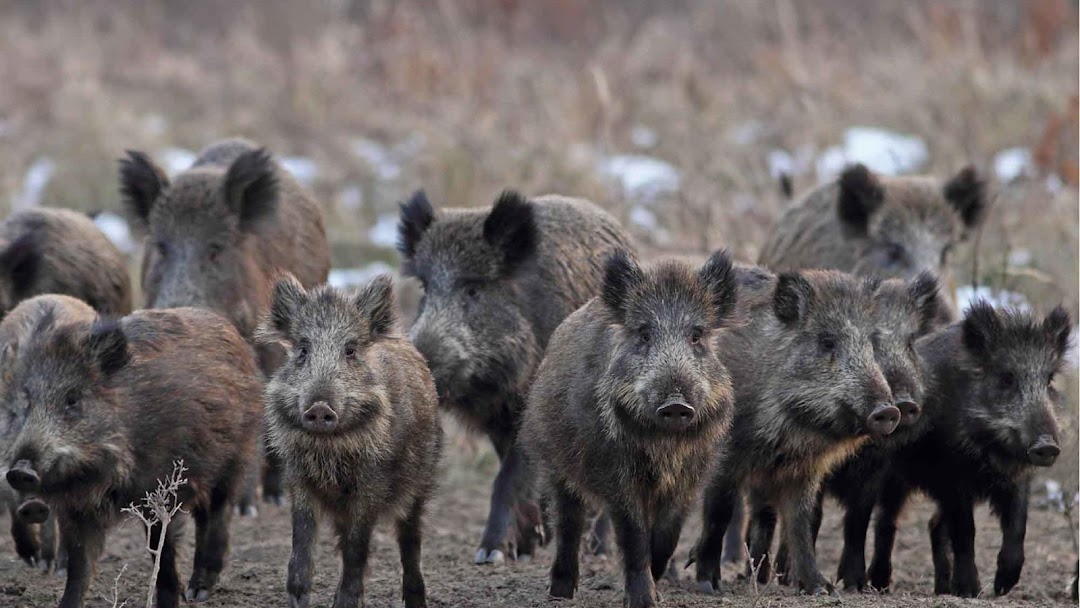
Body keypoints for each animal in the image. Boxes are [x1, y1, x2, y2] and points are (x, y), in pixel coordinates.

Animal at [258, 274, 443, 608]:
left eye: (351, 350)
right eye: (303, 349)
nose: (320, 407)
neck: (330, 450)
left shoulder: (372, 484)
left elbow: (358, 547)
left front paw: (345, 602)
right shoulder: (298, 479)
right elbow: (301, 547)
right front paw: (299, 597)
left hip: (421, 483)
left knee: (410, 542)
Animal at [397, 189, 634, 563]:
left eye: (474, 289)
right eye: (425, 288)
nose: (422, 367)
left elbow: (507, 478)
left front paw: (489, 553)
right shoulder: (497, 419)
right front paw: (524, 548)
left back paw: (596, 551)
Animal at [522, 249, 738, 608]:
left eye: (696, 335)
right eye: (644, 334)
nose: (676, 404)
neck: (665, 445)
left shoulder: (691, 476)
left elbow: (666, 536)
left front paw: (657, 588)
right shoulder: (614, 471)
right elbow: (633, 536)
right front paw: (642, 601)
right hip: (555, 462)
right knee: (568, 522)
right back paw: (560, 592)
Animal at [688, 267, 901, 596]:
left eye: (871, 345)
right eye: (827, 342)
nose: (889, 411)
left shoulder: (805, 470)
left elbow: (802, 523)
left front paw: (821, 588)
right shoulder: (725, 455)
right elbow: (718, 512)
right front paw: (709, 585)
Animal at [866, 302, 1070, 597]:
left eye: (1049, 380)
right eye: (1006, 379)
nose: (1047, 446)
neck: (991, 451)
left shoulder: (1018, 479)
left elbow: (1017, 526)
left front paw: (1002, 587)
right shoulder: (952, 477)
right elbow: (965, 531)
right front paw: (970, 591)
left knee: (934, 525)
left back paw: (942, 589)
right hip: (893, 475)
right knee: (886, 519)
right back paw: (880, 584)